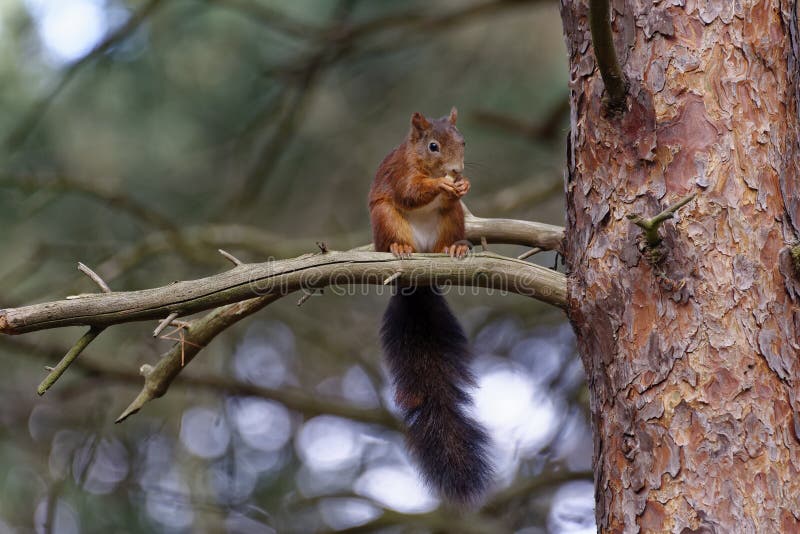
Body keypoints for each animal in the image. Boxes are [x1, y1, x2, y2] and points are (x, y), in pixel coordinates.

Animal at [368, 108, 493, 505]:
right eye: (433, 146)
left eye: (463, 141)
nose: (456, 170)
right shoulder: (400, 175)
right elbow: (411, 192)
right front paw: (440, 186)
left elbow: (453, 196)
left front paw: (462, 185)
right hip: (386, 218)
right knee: (394, 230)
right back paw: (399, 249)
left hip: (453, 221)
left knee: (449, 232)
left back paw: (454, 249)